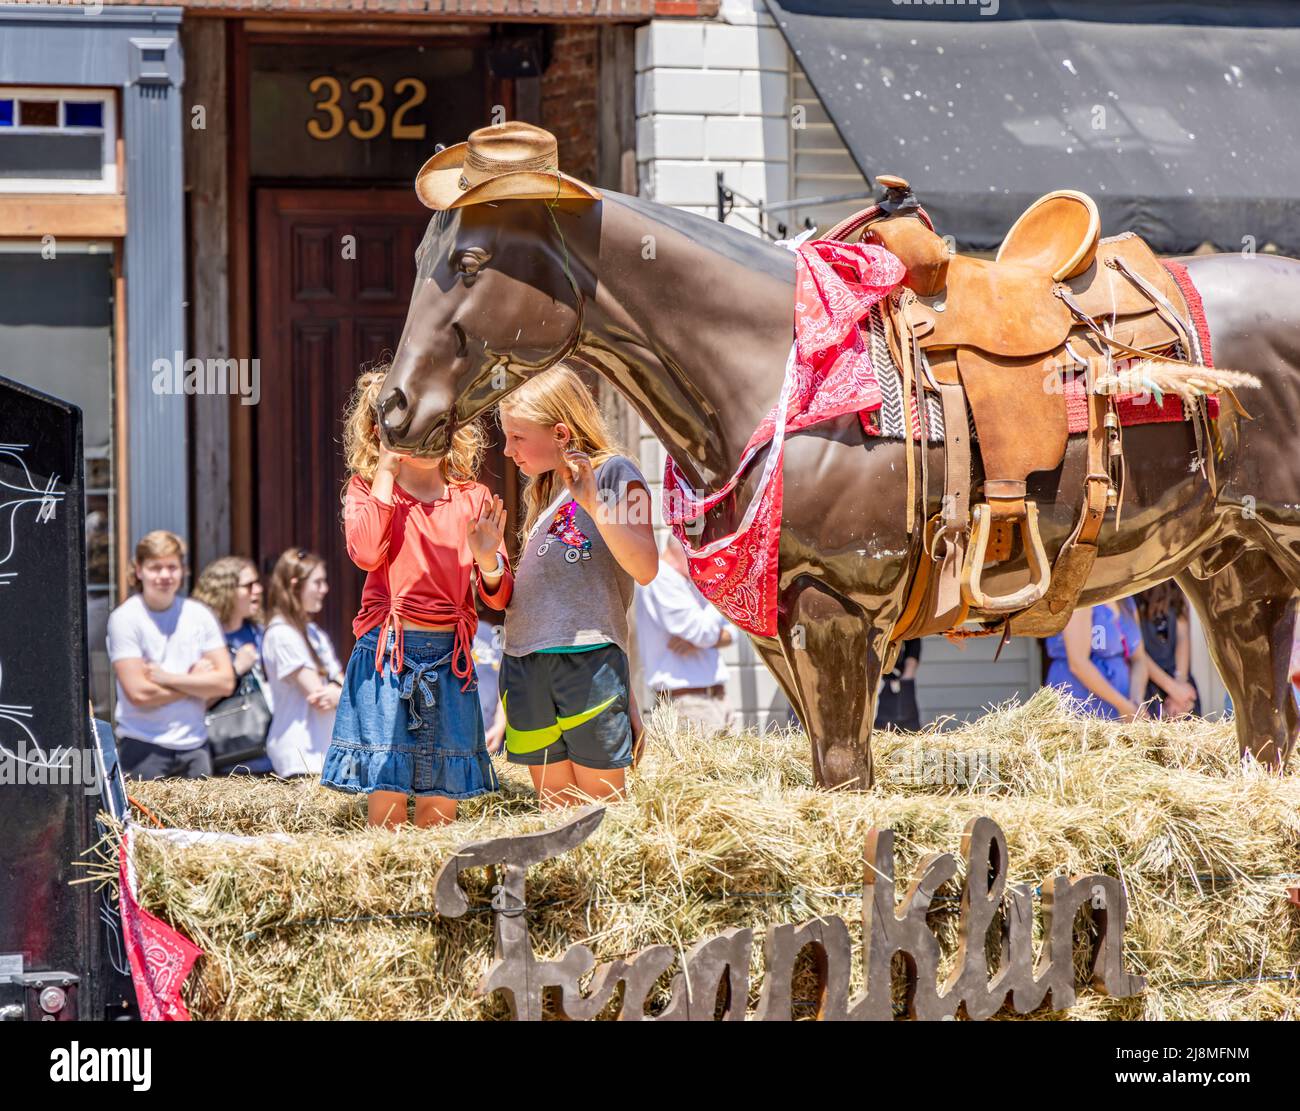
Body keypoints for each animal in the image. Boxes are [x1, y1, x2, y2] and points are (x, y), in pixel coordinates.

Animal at [374, 187, 1300, 789]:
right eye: (419, 256)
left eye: (472, 259)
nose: (393, 407)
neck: (775, 364)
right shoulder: (781, 625)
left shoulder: (838, 608)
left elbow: (848, 773)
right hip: (1234, 566)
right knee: (1265, 722)